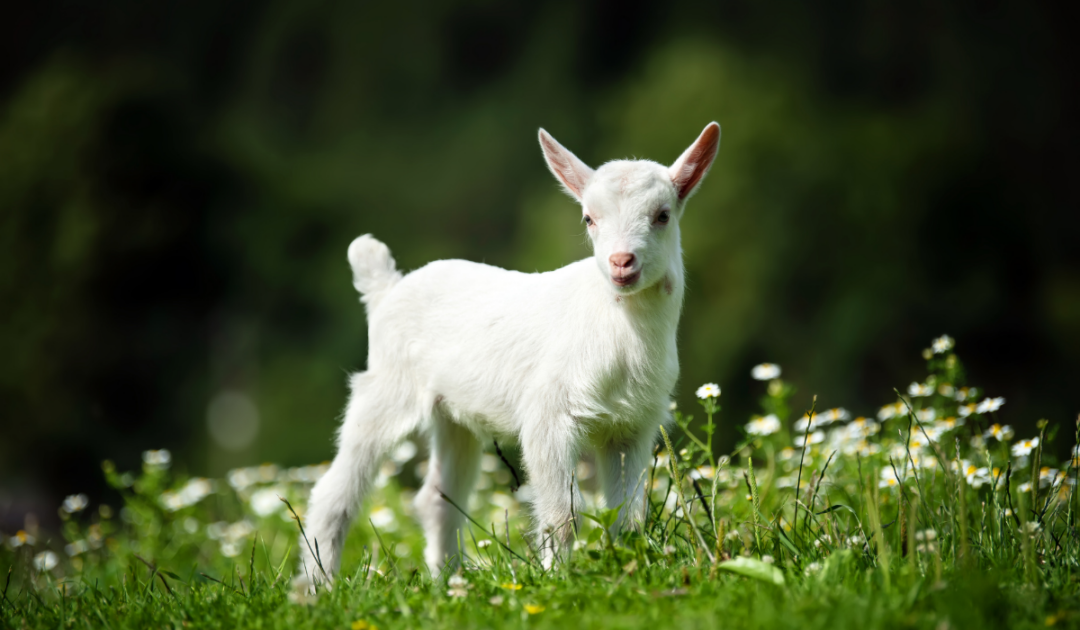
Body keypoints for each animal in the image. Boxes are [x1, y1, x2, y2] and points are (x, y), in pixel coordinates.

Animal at [296, 122, 720, 588]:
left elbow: (628, 515)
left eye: (663, 215)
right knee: (335, 491)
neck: (617, 328)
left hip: (451, 414)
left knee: (438, 496)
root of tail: (387, 288)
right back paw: (317, 586)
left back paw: (449, 581)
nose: (621, 263)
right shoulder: (549, 416)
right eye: (589, 218)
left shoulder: (632, 426)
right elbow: (562, 514)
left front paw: (629, 564)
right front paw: (557, 580)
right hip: (387, 386)